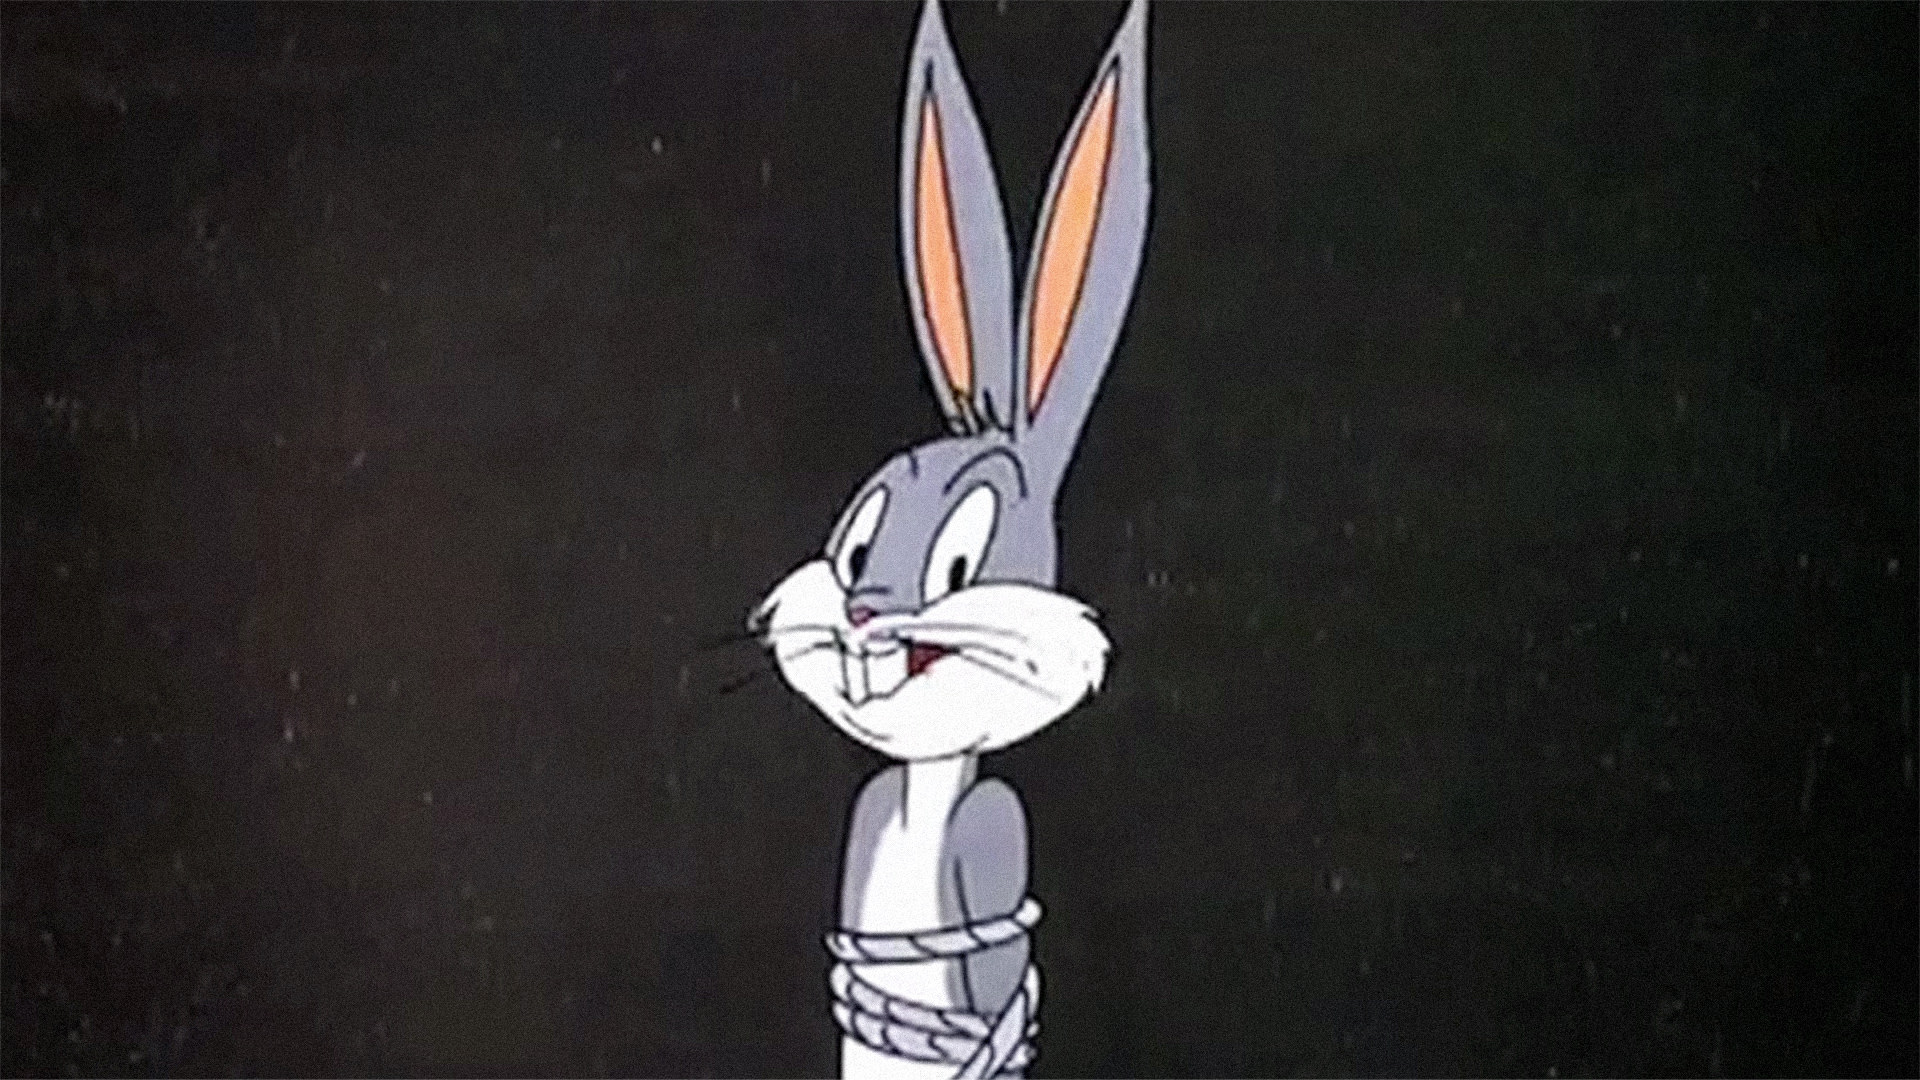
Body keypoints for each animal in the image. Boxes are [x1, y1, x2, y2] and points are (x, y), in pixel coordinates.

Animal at [752, 0, 1149, 1076]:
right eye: (856, 546)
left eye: (961, 563)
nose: (862, 609)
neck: (925, 796)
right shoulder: (865, 818)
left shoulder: (992, 826)